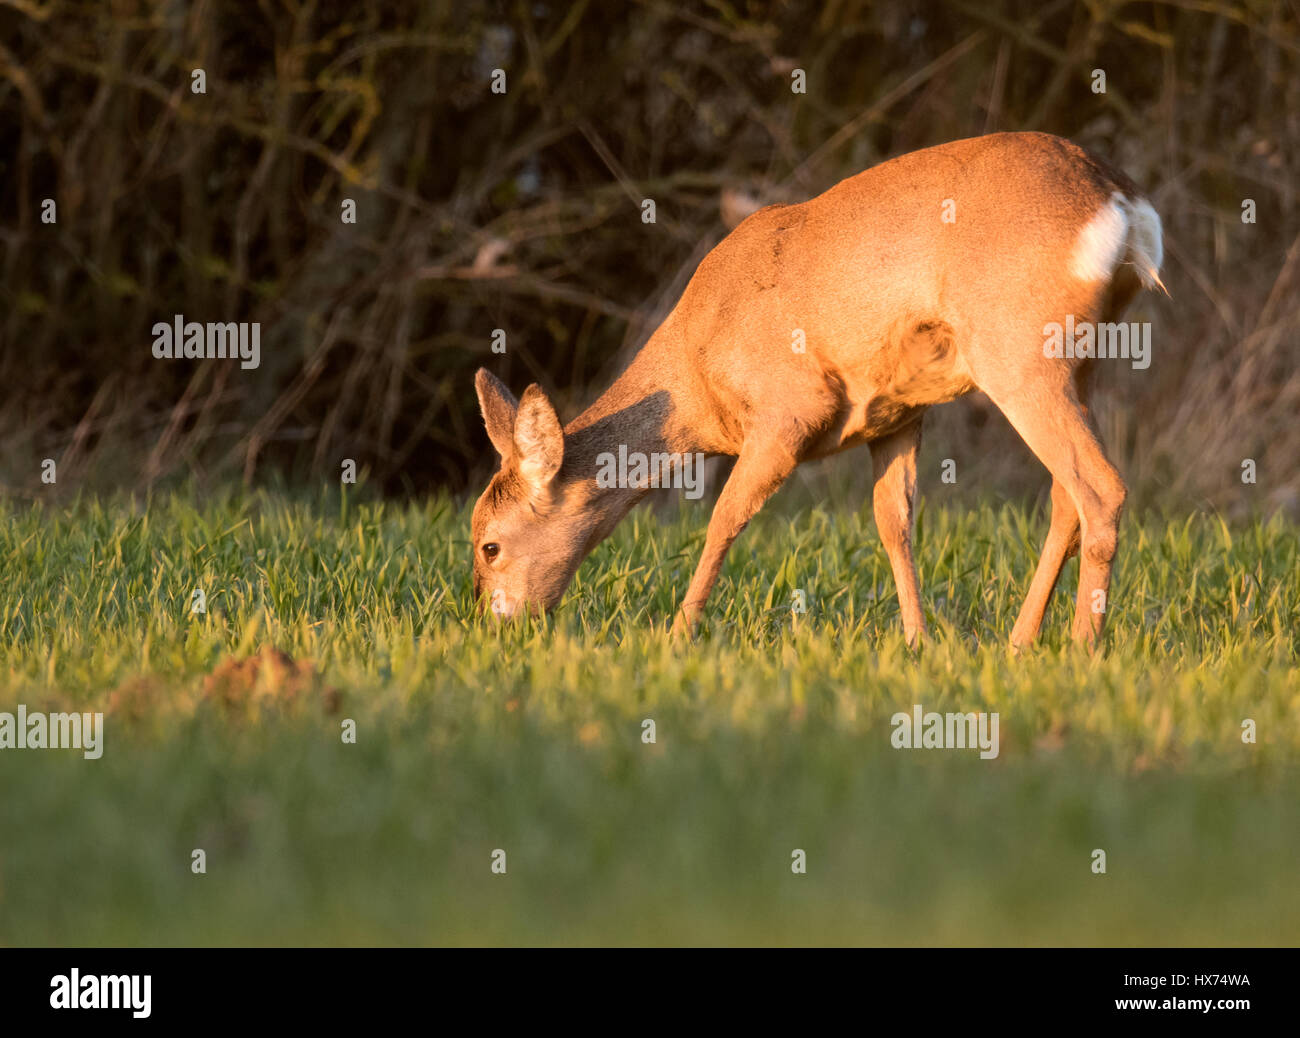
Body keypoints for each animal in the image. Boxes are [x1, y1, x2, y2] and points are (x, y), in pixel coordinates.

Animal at [470, 132, 1165, 648]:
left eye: (488, 545)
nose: (491, 624)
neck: (697, 379)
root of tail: (1124, 203)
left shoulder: (790, 410)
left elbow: (724, 518)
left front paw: (678, 635)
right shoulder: (898, 415)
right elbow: (894, 524)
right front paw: (917, 642)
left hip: (1017, 349)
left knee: (1101, 488)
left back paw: (1081, 649)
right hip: (1082, 362)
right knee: (1067, 497)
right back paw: (1022, 643)